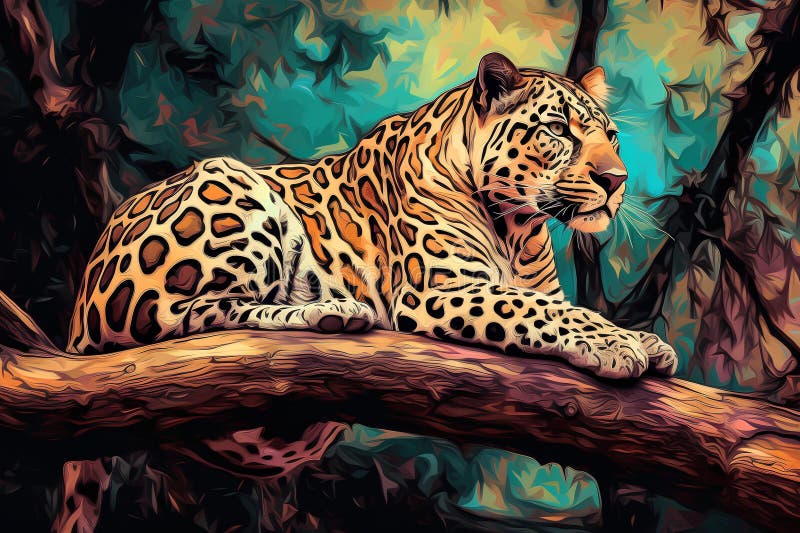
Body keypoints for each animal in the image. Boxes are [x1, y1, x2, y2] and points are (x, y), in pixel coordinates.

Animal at [67, 52, 677, 379]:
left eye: (611, 136)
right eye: (557, 130)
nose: (616, 180)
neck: (517, 225)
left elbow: (553, 304)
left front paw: (641, 339)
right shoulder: (439, 290)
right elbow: (548, 311)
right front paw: (619, 344)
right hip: (228, 187)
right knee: (190, 319)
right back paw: (332, 312)